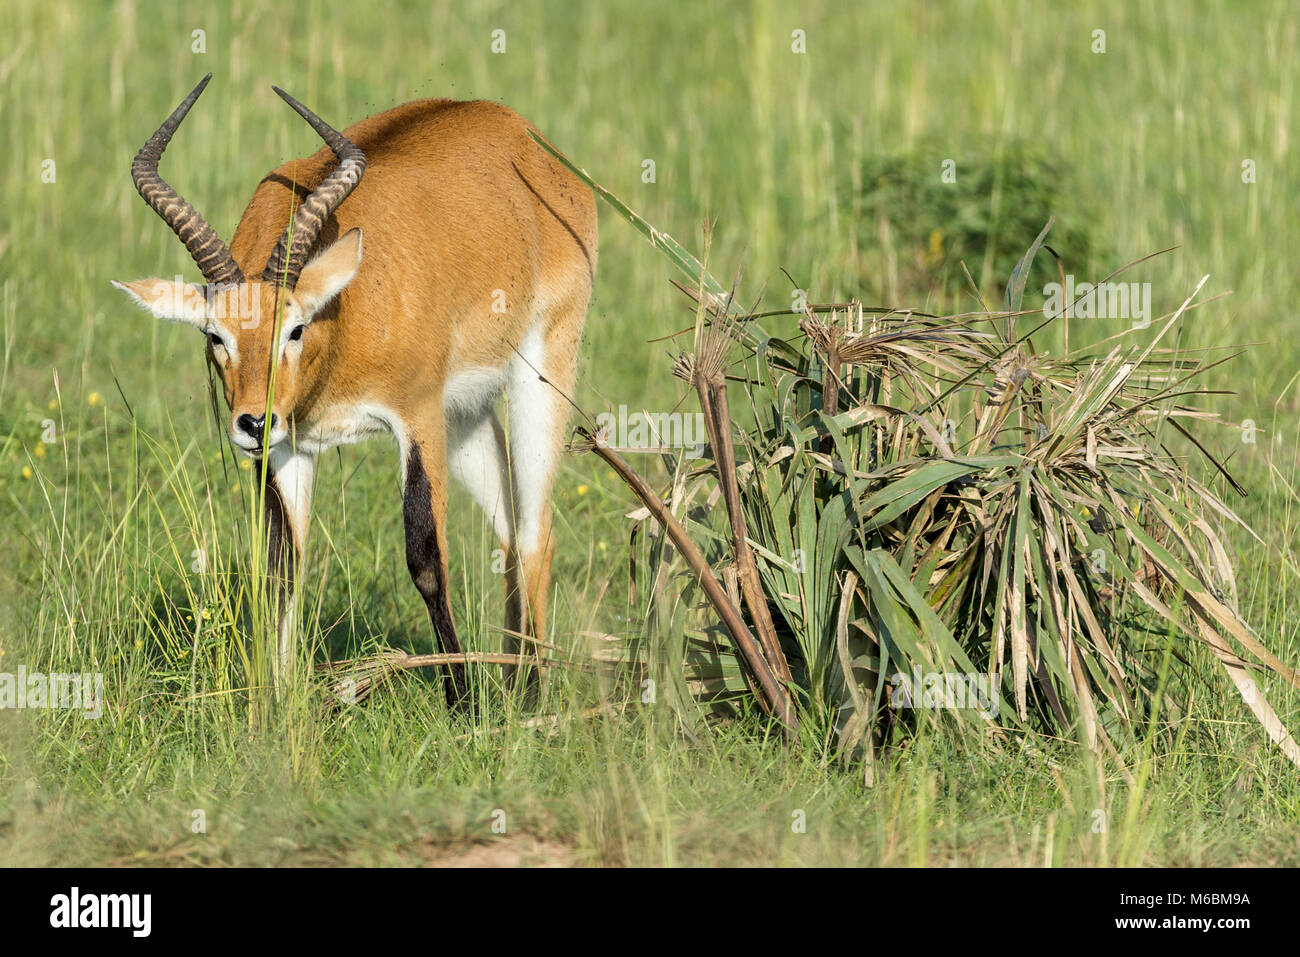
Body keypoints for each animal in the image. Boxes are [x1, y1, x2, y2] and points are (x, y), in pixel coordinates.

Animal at [112, 75, 597, 707]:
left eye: (295, 328)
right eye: (215, 335)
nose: (252, 423)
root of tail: (521, 135)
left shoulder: (417, 416)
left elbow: (425, 558)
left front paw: (461, 705)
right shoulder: (291, 446)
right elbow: (283, 565)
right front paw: (277, 702)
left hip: (539, 374)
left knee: (537, 535)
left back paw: (534, 696)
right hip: (466, 415)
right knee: (510, 536)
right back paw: (514, 682)